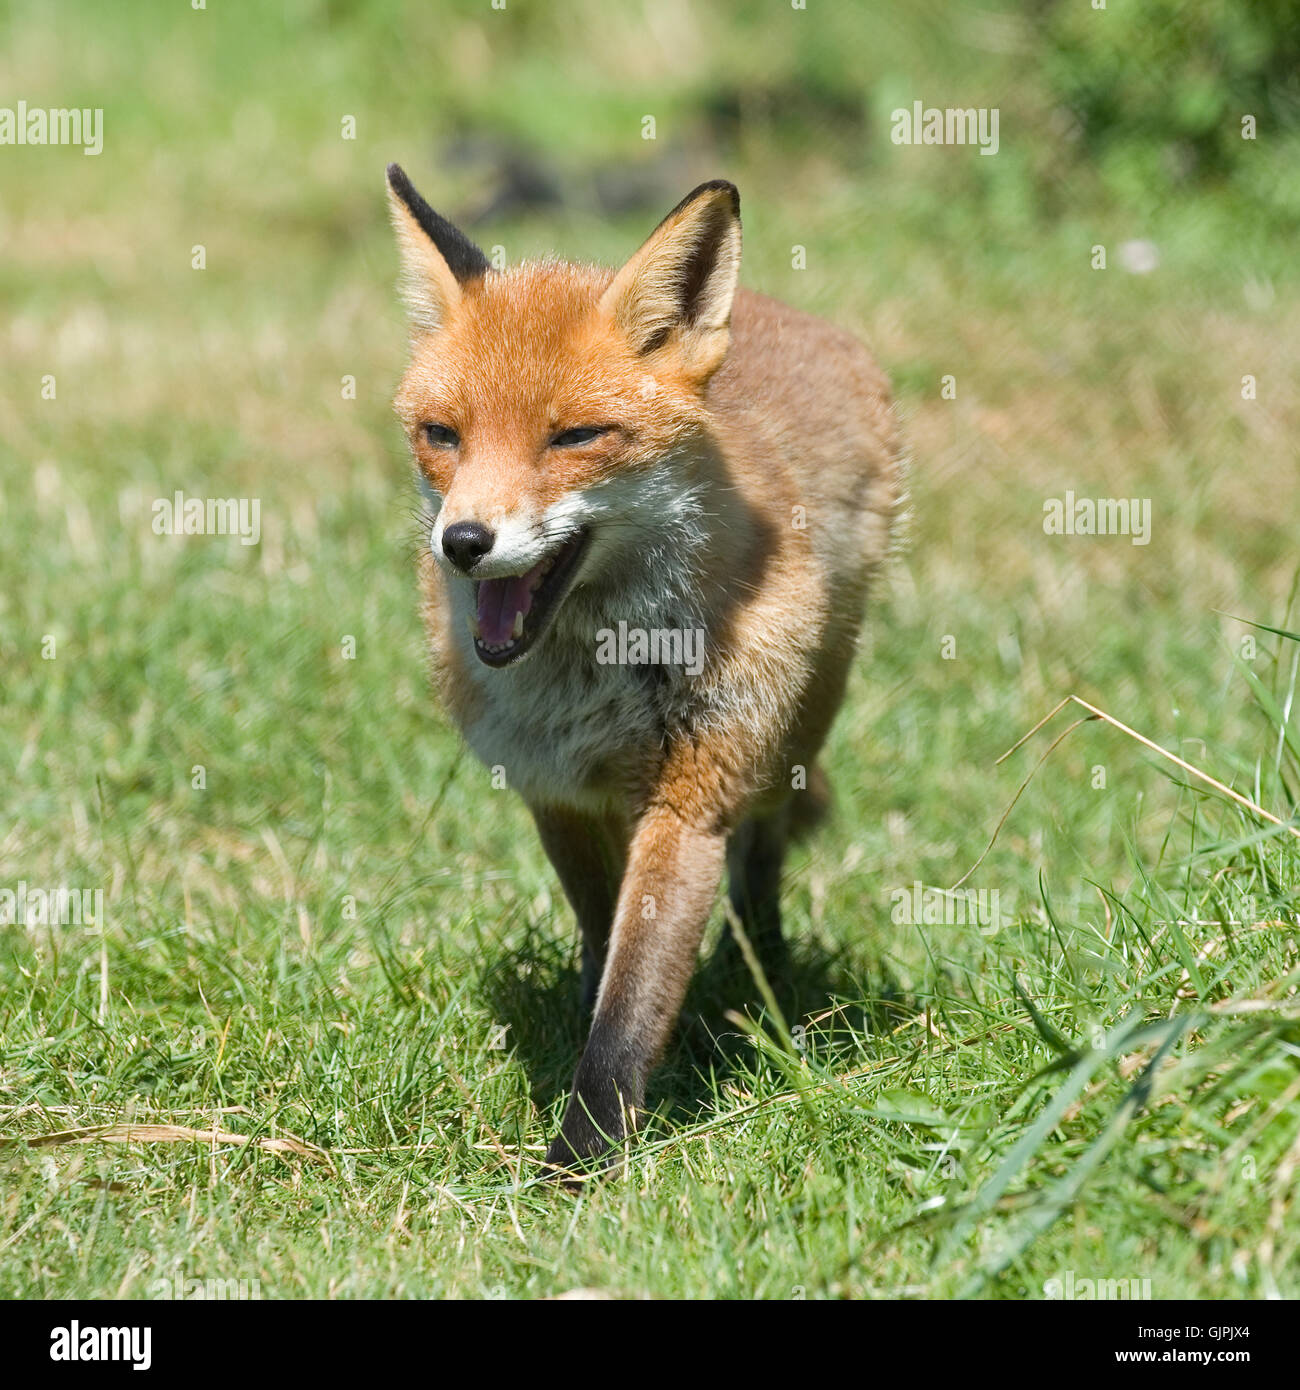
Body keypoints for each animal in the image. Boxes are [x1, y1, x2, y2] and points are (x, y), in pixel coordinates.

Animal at [386, 162, 903, 1173]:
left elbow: (629, 1008)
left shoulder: (692, 795)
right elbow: (602, 944)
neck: (597, 678)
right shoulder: (554, 789)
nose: (464, 543)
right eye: (444, 433)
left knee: (764, 857)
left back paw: (765, 972)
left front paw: (579, 1165)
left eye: (574, 438)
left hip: (795, 728)